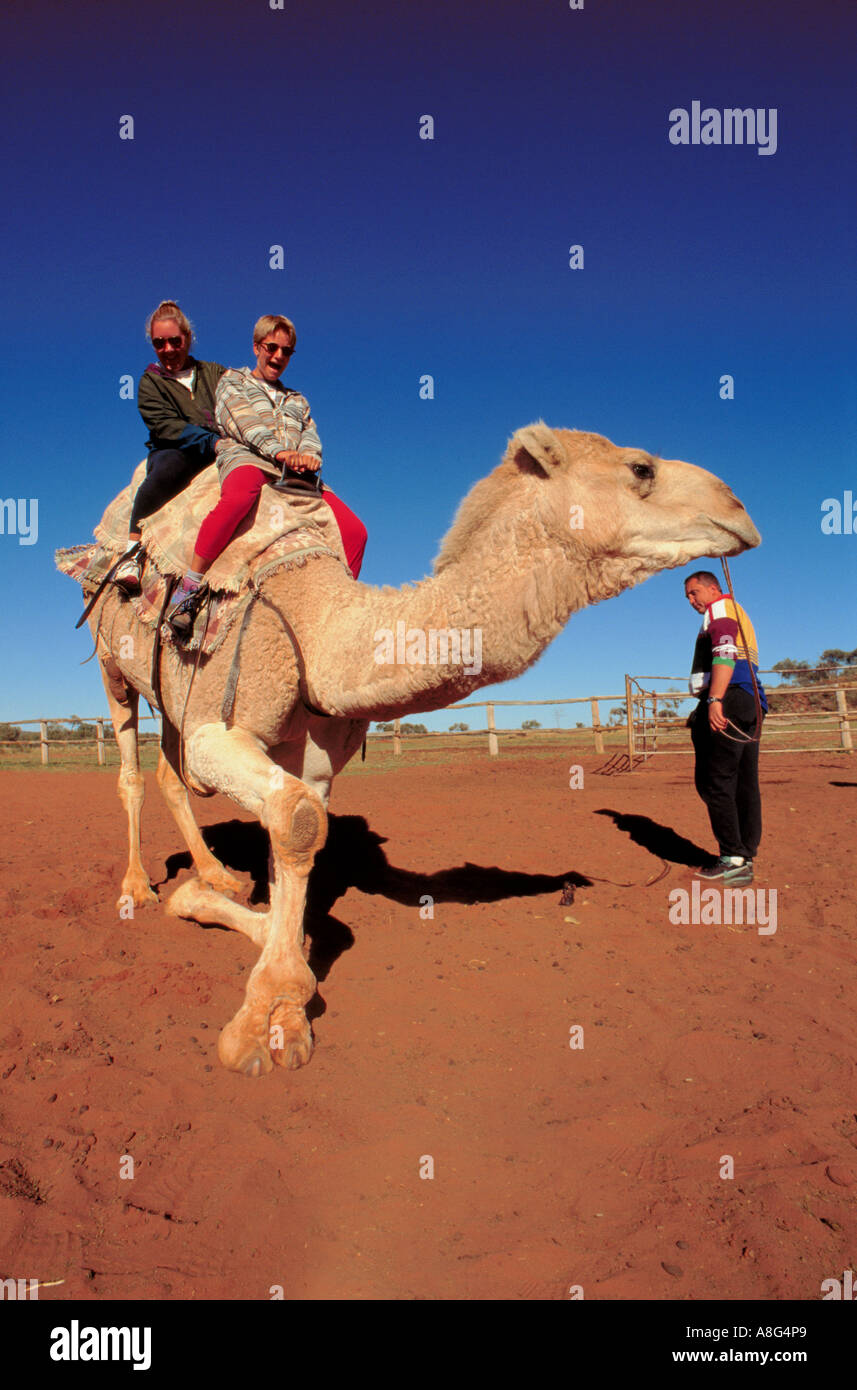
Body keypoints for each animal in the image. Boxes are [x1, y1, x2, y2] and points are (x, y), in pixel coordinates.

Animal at [78, 424, 760, 1077]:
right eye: (641, 467)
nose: (739, 507)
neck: (321, 629)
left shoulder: (310, 759)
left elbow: (295, 833)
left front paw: (279, 994)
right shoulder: (222, 724)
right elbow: (296, 821)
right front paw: (258, 1028)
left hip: (172, 697)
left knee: (173, 774)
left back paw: (213, 874)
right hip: (114, 663)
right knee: (133, 768)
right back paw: (139, 889)